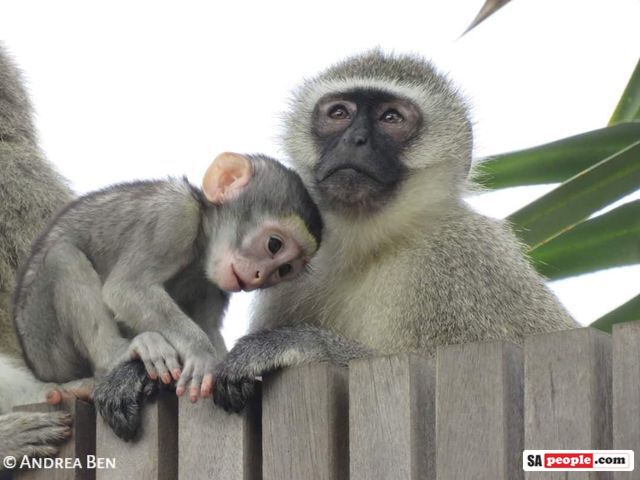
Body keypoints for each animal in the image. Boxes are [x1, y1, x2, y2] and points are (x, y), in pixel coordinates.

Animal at [13, 151, 322, 439]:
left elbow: (208, 324)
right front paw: (201, 353)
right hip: (43, 341)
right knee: (62, 255)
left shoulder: (213, 280)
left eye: (283, 270)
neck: (200, 232)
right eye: (274, 244)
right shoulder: (174, 217)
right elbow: (127, 287)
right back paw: (117, 354)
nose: (259, 276)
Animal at [209, 49, 579, 413]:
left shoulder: (467, 256)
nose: (355, 140)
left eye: (391, 118)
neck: (370, 245)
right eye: (339, 112)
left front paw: (297, 343)